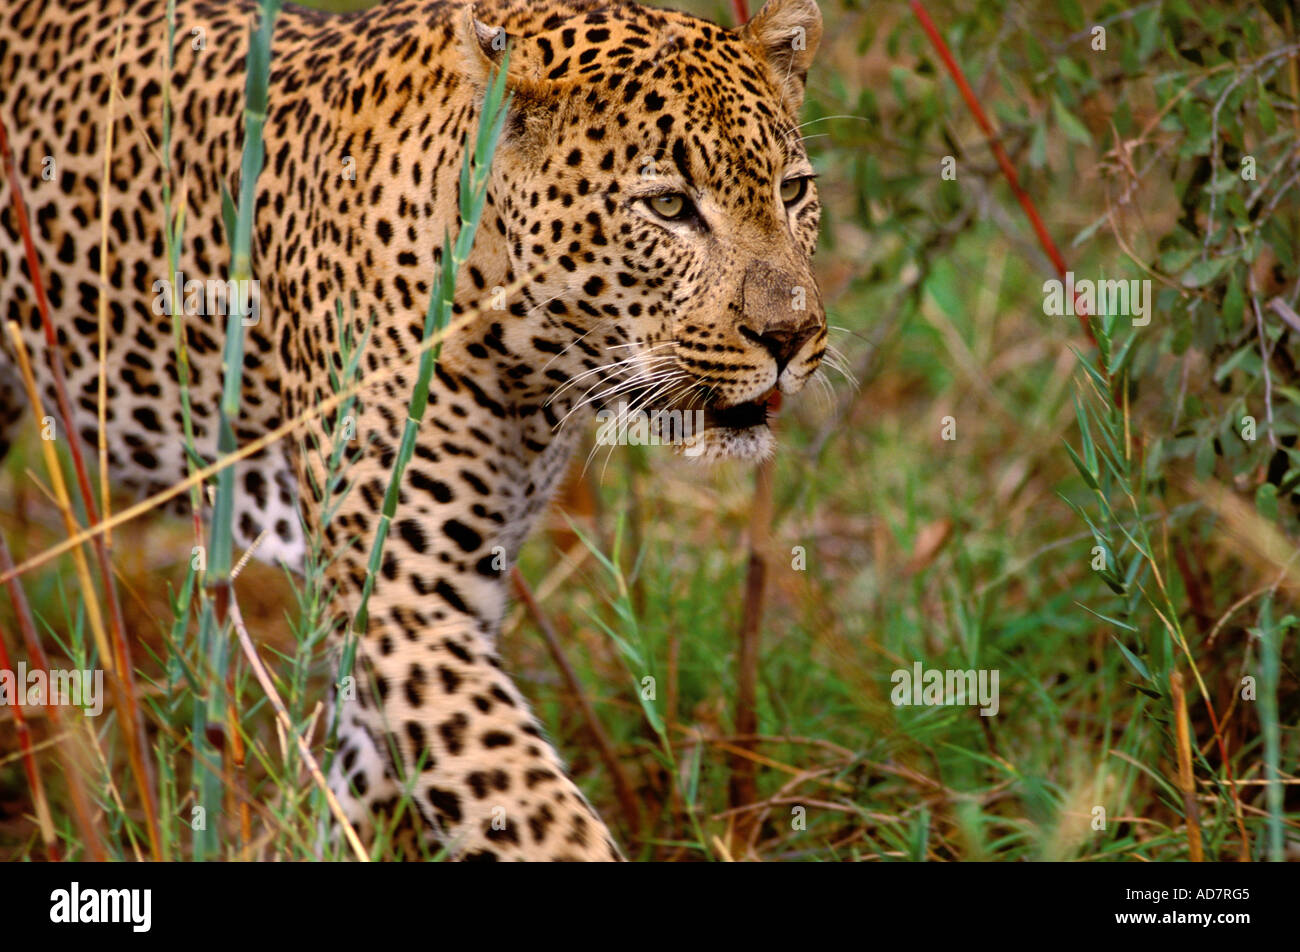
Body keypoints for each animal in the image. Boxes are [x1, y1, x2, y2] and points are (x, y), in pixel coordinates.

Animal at [0, 0, 826, 860]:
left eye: (793, 190)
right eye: (668, 206)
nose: (793, 335)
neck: (534, 365)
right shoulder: (404, 603)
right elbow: (545, 818)